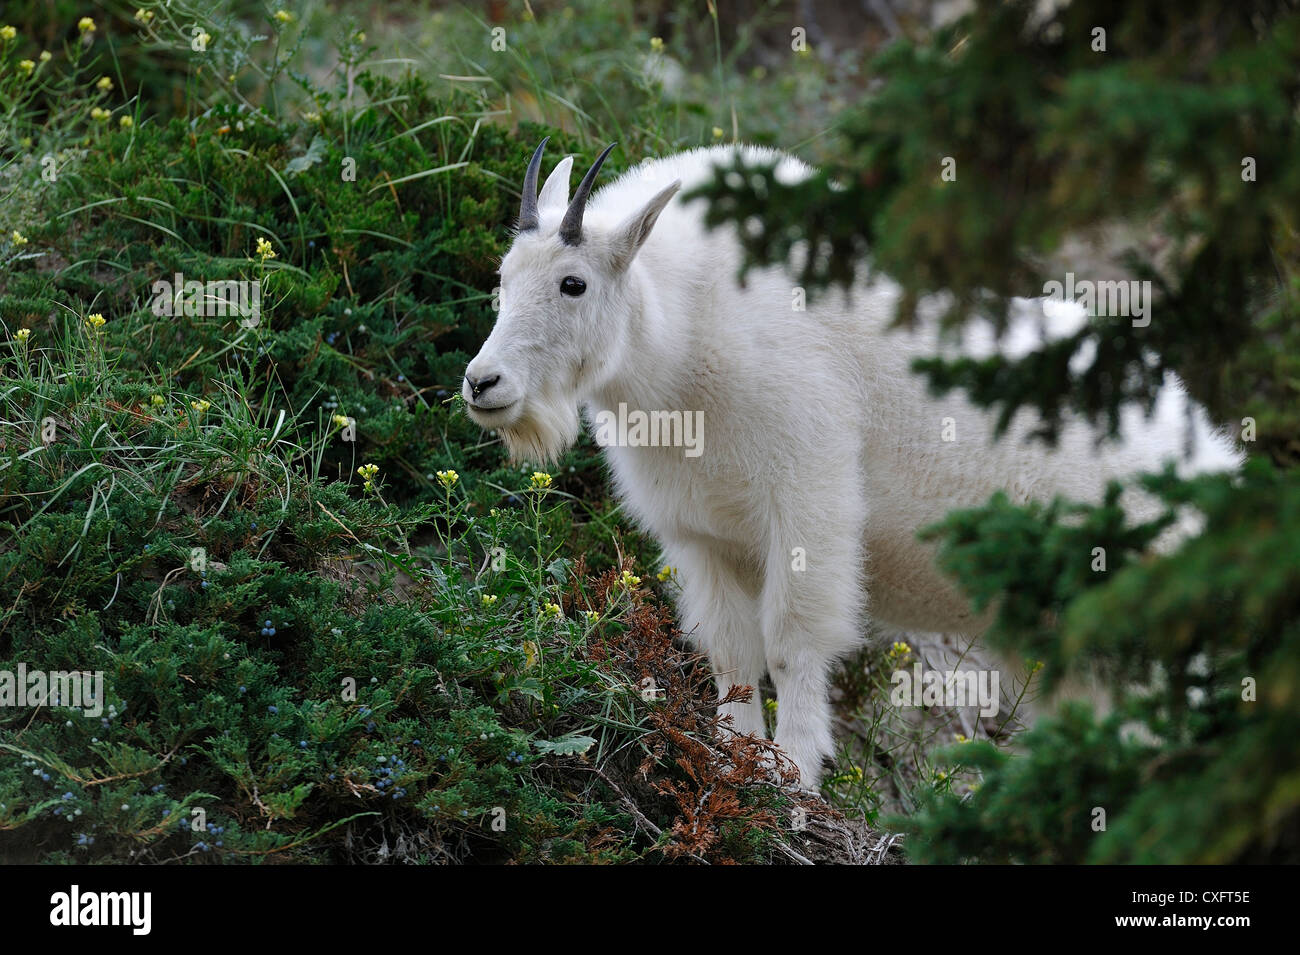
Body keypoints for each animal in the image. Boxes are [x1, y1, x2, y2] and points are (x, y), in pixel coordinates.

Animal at [462, 140, 1242, 787]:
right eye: (504, 275)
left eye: (572, 284)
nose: (483, 383)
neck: (686, 336)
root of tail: (1213, 456)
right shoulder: (704, 535)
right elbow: (732, 654)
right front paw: (736, 761)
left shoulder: (807, 501)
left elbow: (791, 644)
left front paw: (795, 777)